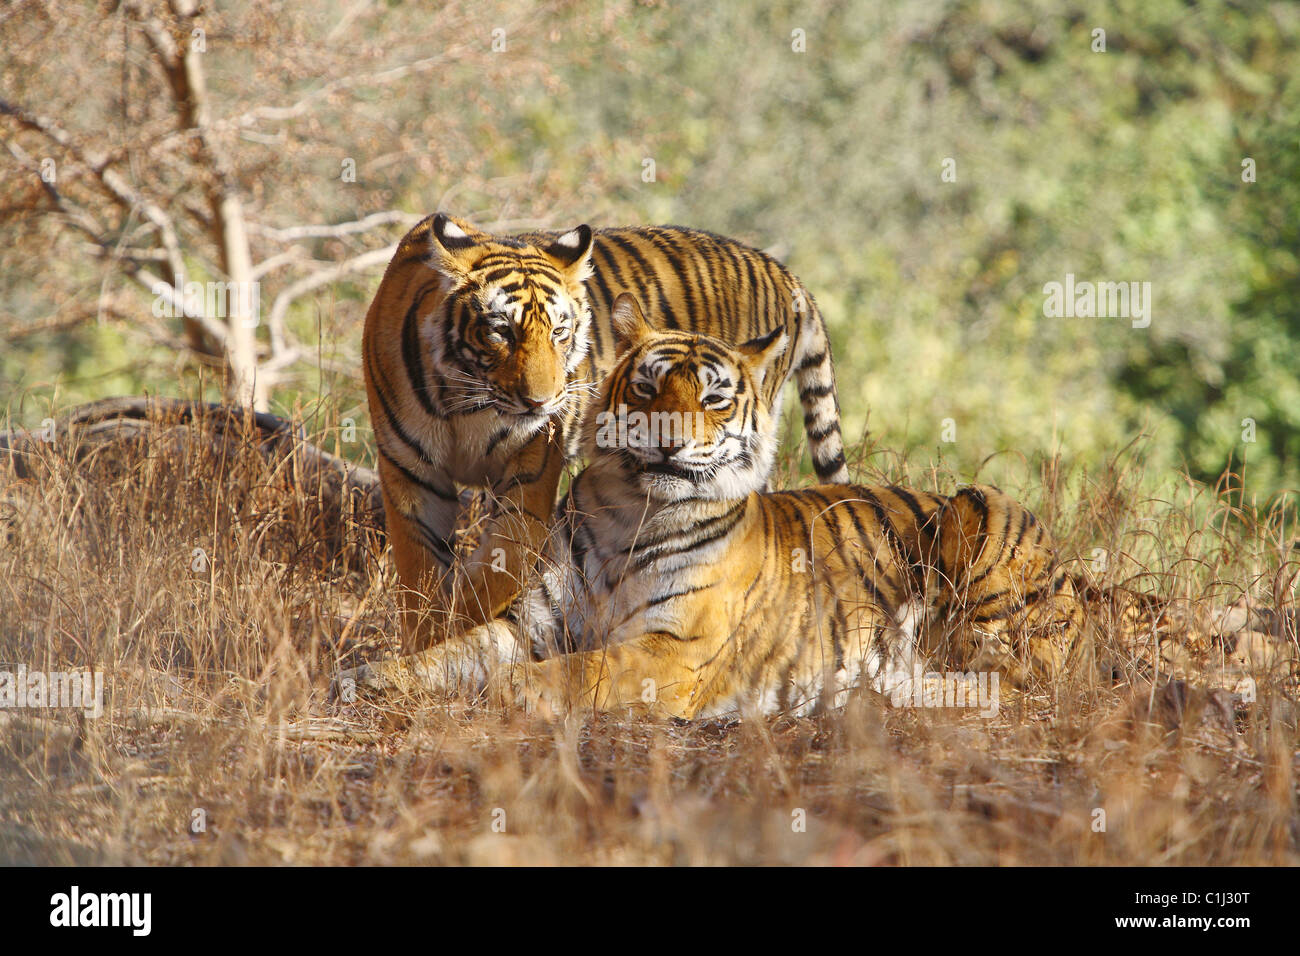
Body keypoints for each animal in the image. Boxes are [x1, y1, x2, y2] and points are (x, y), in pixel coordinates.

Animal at [343, 294, 1083, 719]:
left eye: (715, 398)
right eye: (647, 387)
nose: (670, 440)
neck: (630, 511)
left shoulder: (676, 651)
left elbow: (582, 669)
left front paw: (511, 692)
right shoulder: (533, 621)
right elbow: (451, 654)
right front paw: (371, 676)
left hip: (981, 514)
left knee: (1021, 682)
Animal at [362, 213, 848, 652]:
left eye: (559, 332)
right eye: (501, 332)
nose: (541, 402)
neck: (467, 406)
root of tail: (785, 272)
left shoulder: (530, 476)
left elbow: (498, 569)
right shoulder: (411, 474)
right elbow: (421, 576)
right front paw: (429, 640)